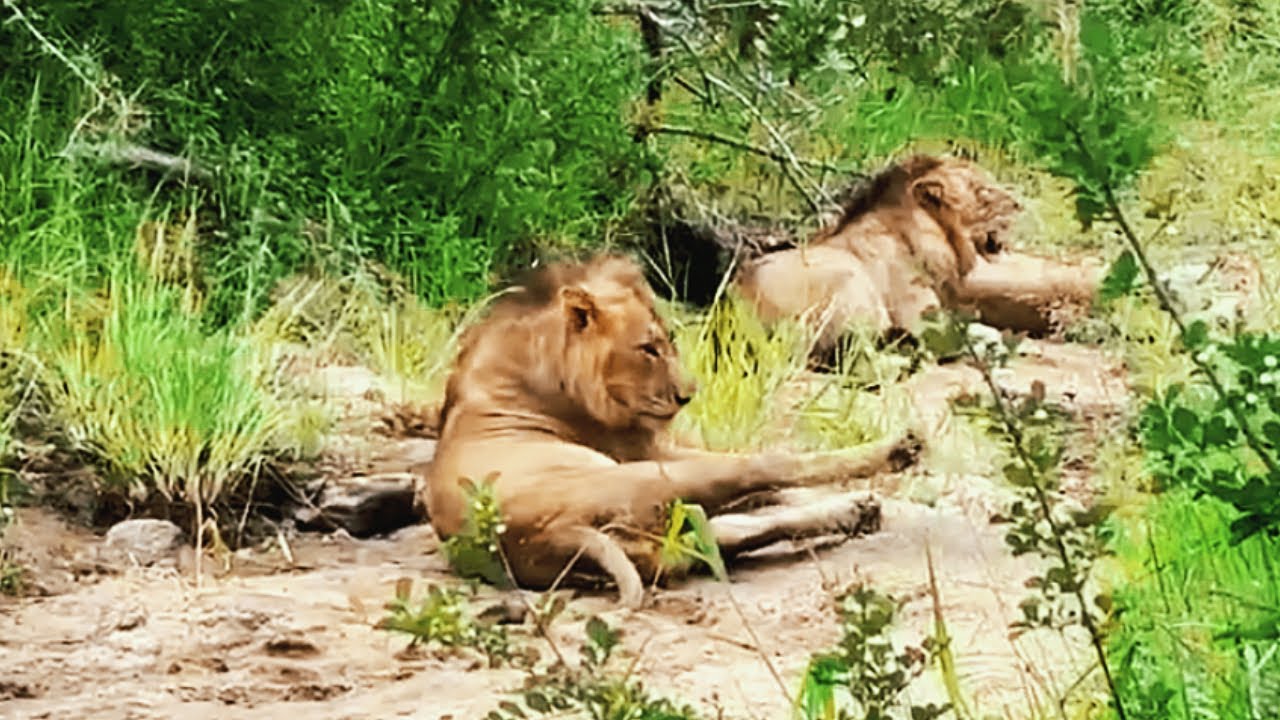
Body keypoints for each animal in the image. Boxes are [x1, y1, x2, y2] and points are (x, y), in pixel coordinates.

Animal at [421, 253, 918, 608]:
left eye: (671, 343)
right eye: (648, 349)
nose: (687, 395)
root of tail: (548, 535)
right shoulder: (646, 449)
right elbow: (766, 477)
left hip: (667, 526)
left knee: (733, 529)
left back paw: (856, 511)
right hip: (644, 479)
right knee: (761, 468)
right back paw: (895, 454)